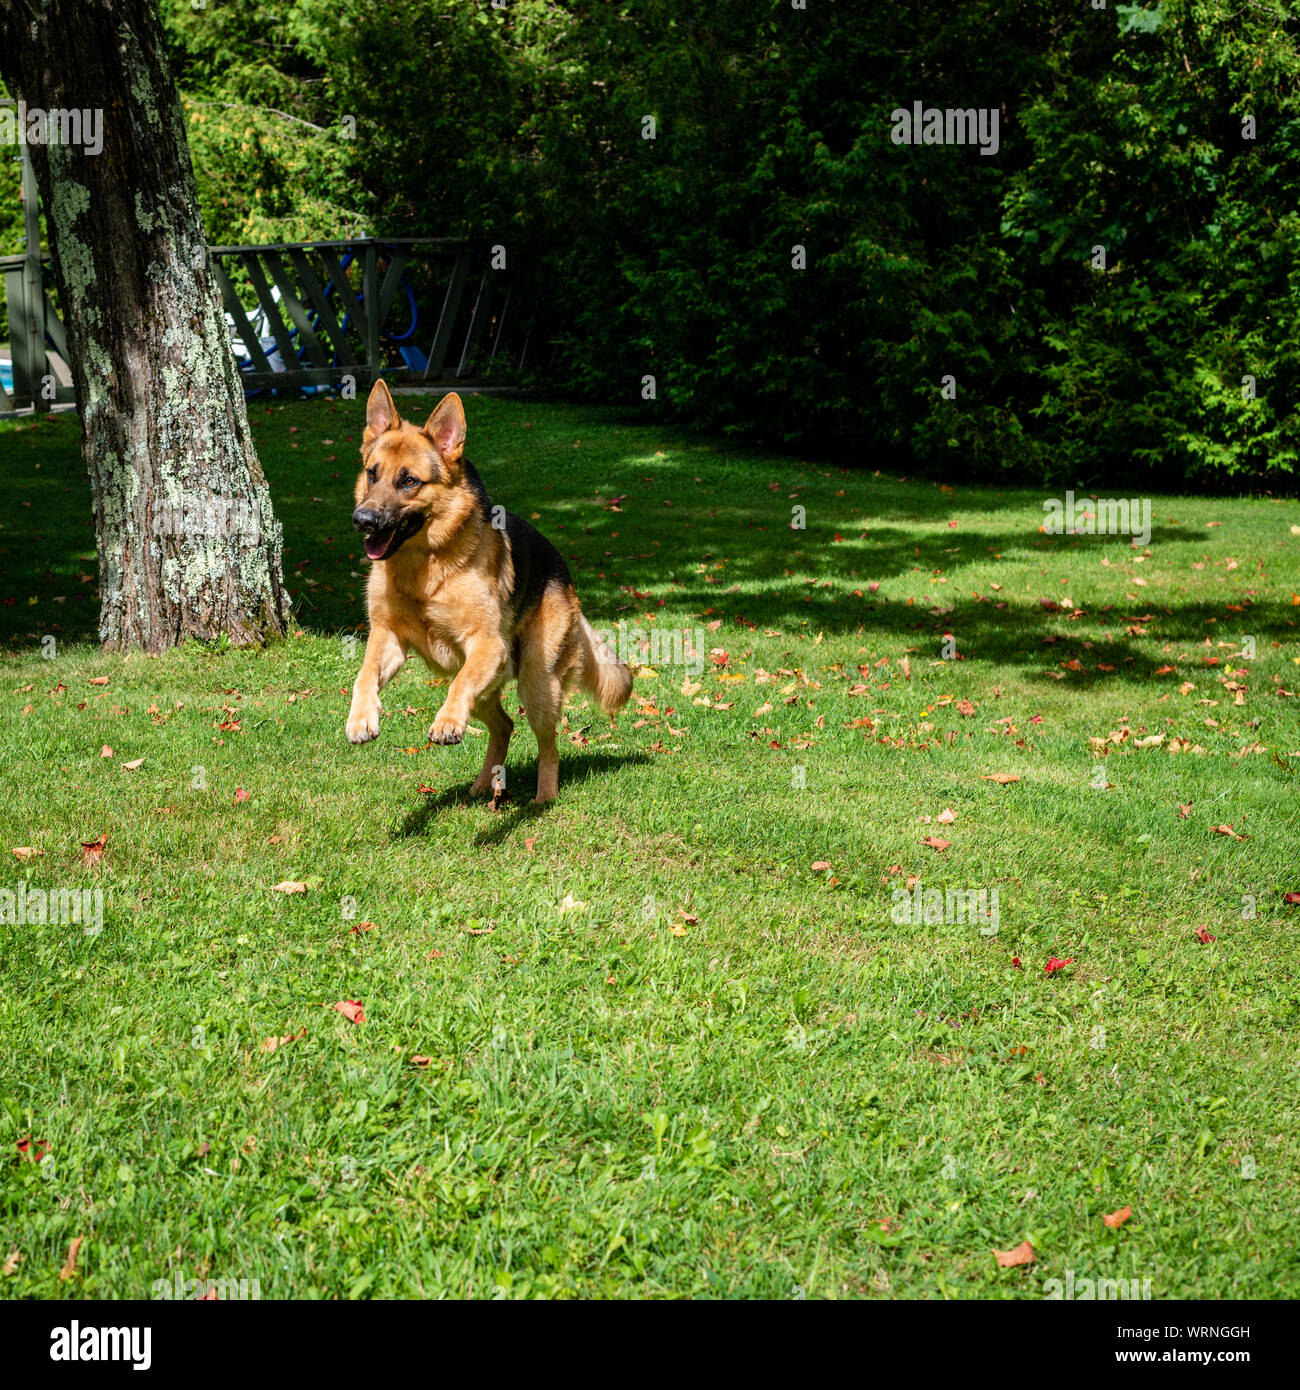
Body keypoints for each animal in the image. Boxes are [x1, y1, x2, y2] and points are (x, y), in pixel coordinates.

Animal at [343, 380, 634, 806]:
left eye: (409, 481)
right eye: (372, 473)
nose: (362, 520)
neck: (426, 565)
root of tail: (563, 571)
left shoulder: (486, 644)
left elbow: (459, 683)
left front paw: (447, 721)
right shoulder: (388, 638)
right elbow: (364, 673)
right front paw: (361, 718)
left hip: (537, 686)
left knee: (548, 745)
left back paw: (544, 797)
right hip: (490, 693)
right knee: (504, 725)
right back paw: (484, 784)